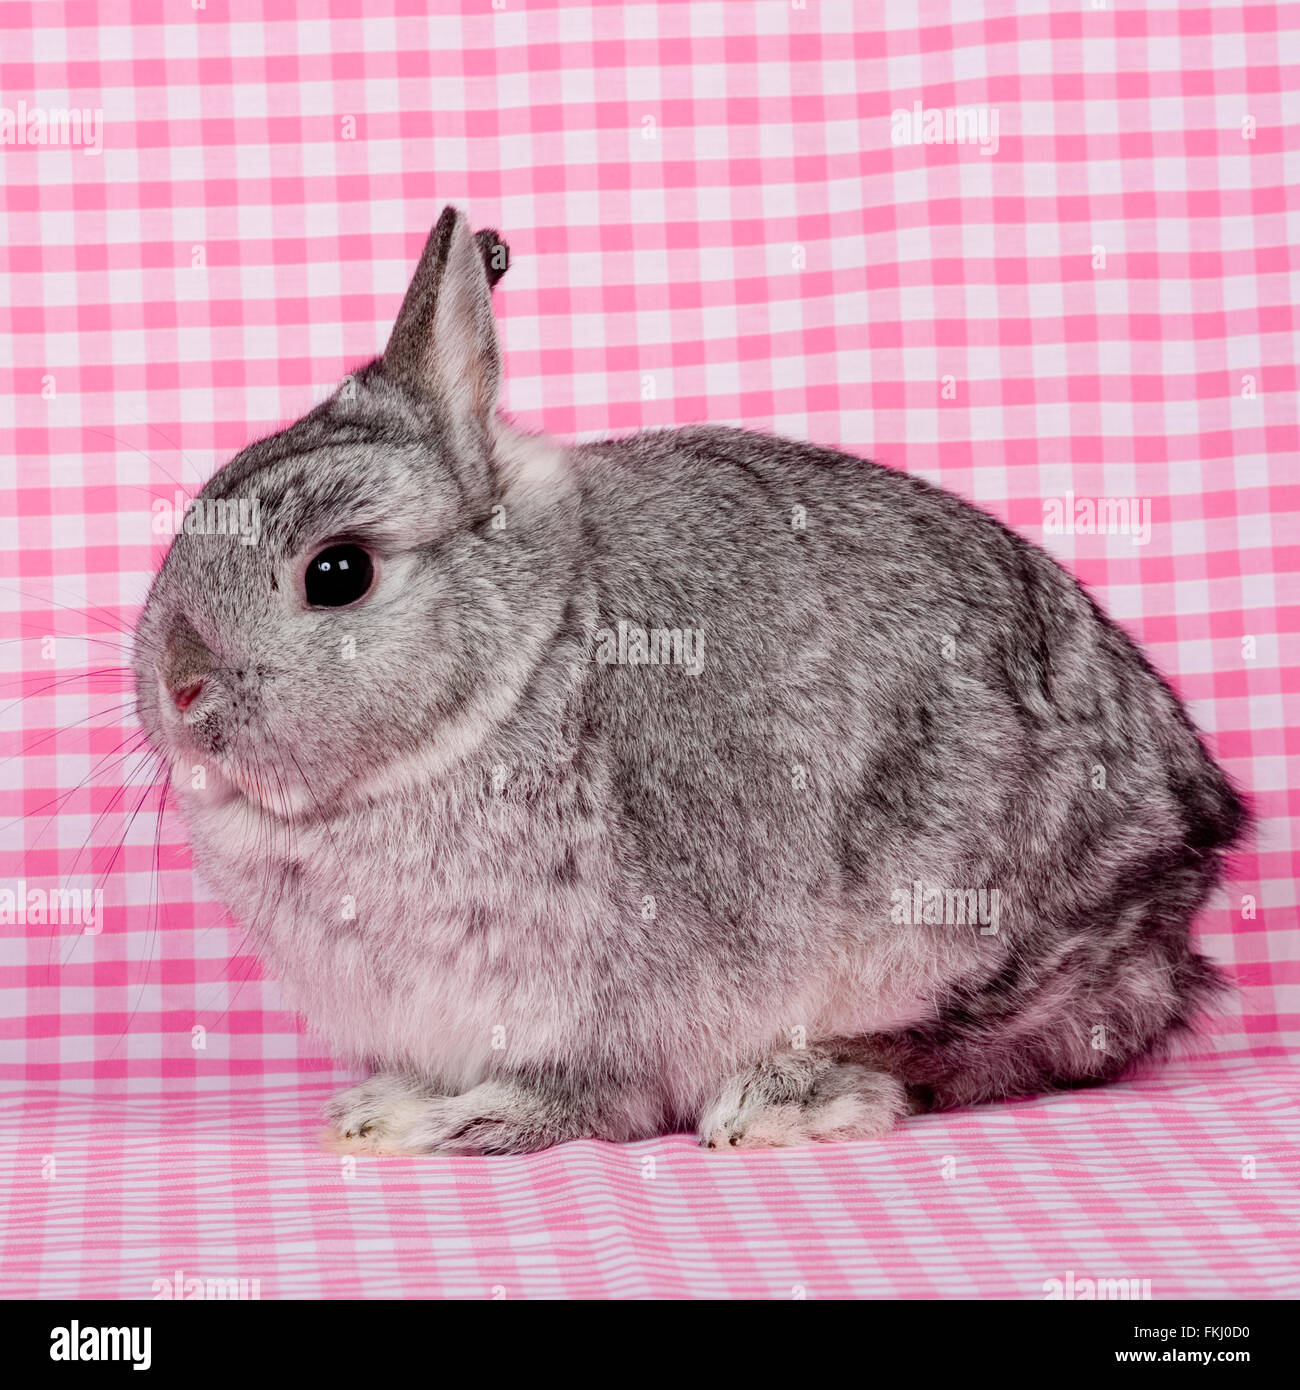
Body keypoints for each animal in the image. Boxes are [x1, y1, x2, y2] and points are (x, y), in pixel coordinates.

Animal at [132, 206, 1248, 1154]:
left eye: (338, 572)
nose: (178, 689)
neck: (519, 665)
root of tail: (1183, 859)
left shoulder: (604, 993)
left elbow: (588, 1092)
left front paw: (474, 1122)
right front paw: (378, 1112)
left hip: (958, 926)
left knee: (953, 1051)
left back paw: (783, 1102)